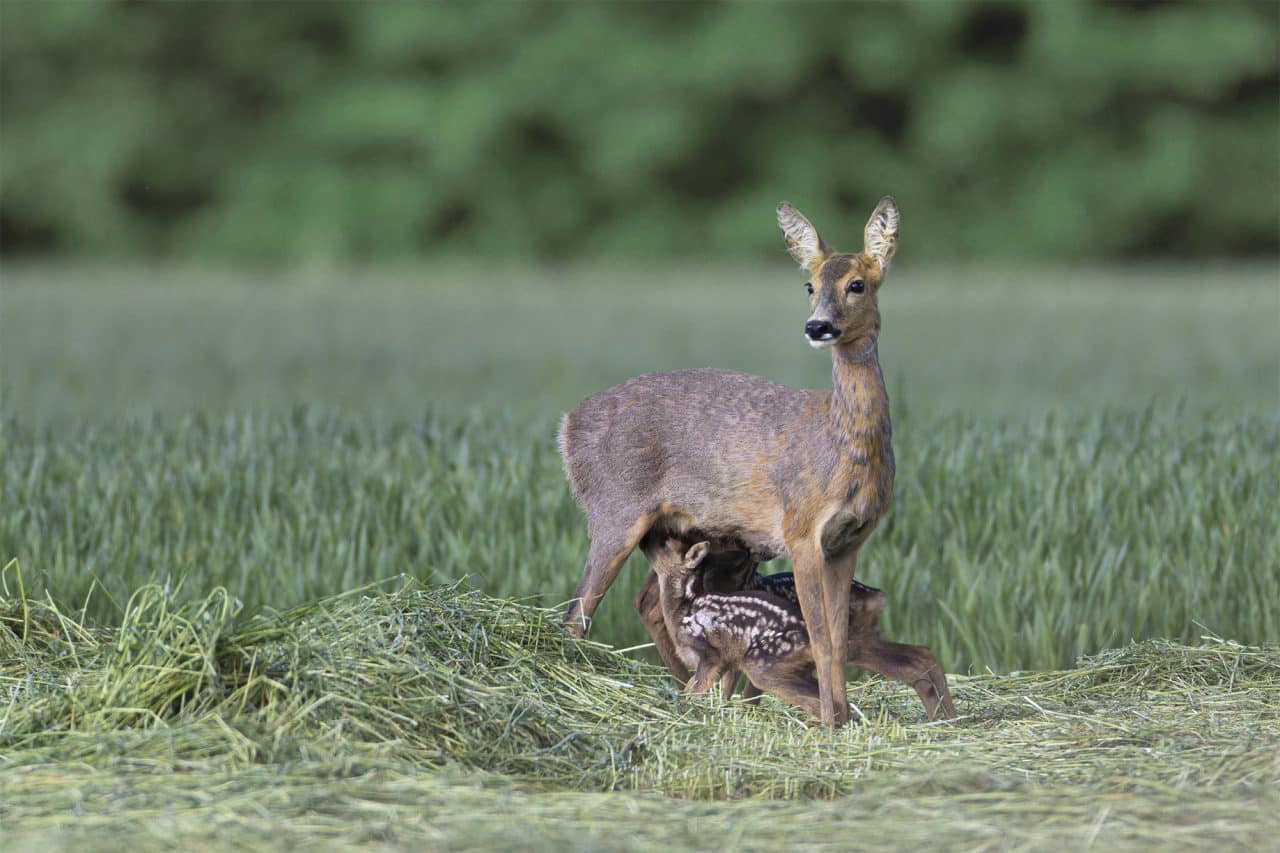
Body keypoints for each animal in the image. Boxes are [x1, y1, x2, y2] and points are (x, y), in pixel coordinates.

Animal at [560, 197, 901, 725]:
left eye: (857, 284)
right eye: (809, 284)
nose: (817, 326)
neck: (841, 448)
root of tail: (567, 426)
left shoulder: (849, 541)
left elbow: (840, 641)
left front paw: (841, 717)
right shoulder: (801, 530)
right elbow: (822, 639)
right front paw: (830, 722)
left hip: (682, 527)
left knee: (649, 598)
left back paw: (689, 686)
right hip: (614, 509)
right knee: (577, 613)